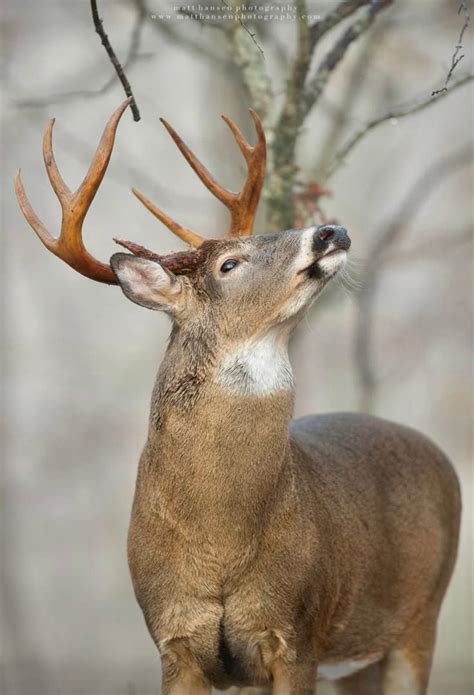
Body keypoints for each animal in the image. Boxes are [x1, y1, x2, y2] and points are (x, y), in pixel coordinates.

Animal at [15, 98, 461, 695]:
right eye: (229, 265)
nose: (331, 231)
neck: (218, 538)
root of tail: (441, 457)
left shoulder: (297, 634)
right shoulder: (175, 641)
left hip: (420, 619)